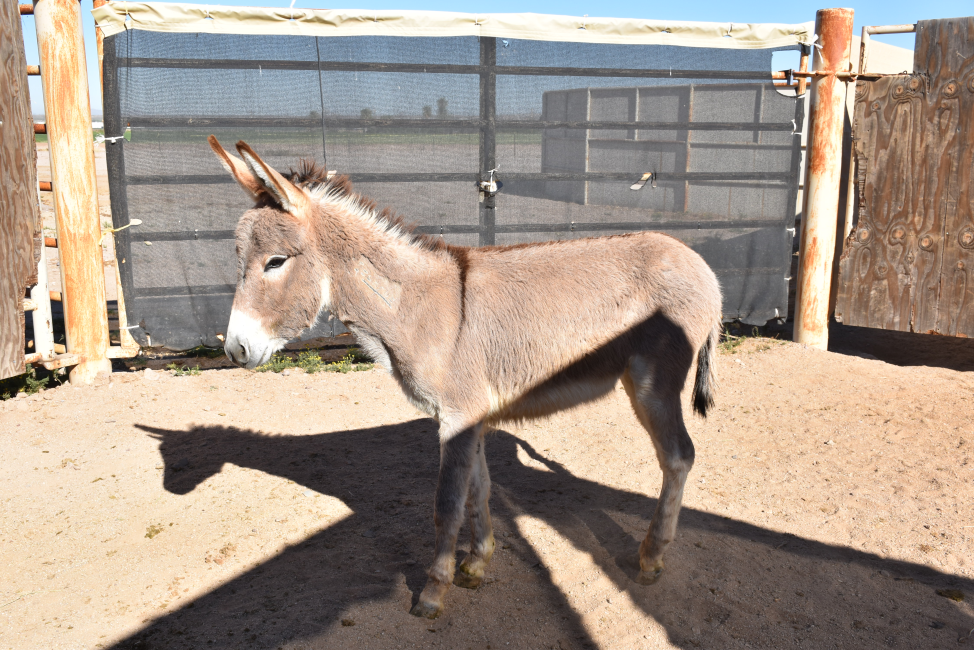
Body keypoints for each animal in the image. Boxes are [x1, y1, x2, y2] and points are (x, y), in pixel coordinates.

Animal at [208, 136, 722, 619]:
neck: (417, 307)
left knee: (679, 457)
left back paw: (651, 559)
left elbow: (447, 505)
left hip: (655, 385)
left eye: (276, 262)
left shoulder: (456, 417)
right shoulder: (467, 417)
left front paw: (435, 590)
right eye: (238, 257)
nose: (234, 350)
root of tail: (700, 263)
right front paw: (475, 565)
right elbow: (479, 490)